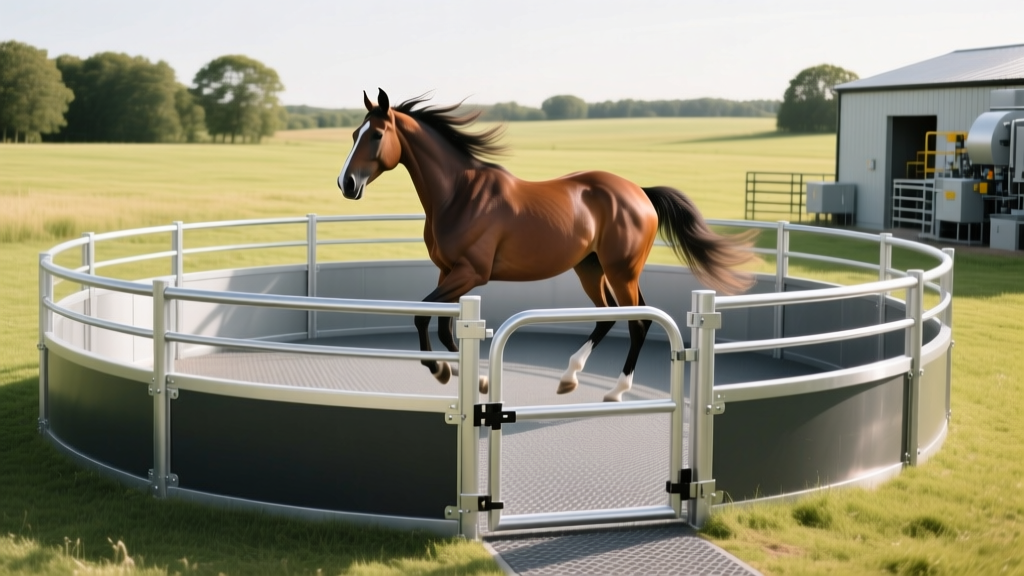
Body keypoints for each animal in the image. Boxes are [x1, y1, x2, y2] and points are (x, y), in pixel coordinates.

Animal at [337, 89, 757, 402]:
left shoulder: (471, 274)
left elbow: (423, 316)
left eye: (376, 135)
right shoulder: (448, 273)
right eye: (355, 133)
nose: (346, 184)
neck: (460, 195)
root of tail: (640, 192)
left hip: (621, 270)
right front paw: (472, 378)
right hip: (590, 268)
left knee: (637, 321)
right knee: (608, 316)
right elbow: (442, 326)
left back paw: (616, 391)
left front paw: (442, 370)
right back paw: (569, 377)